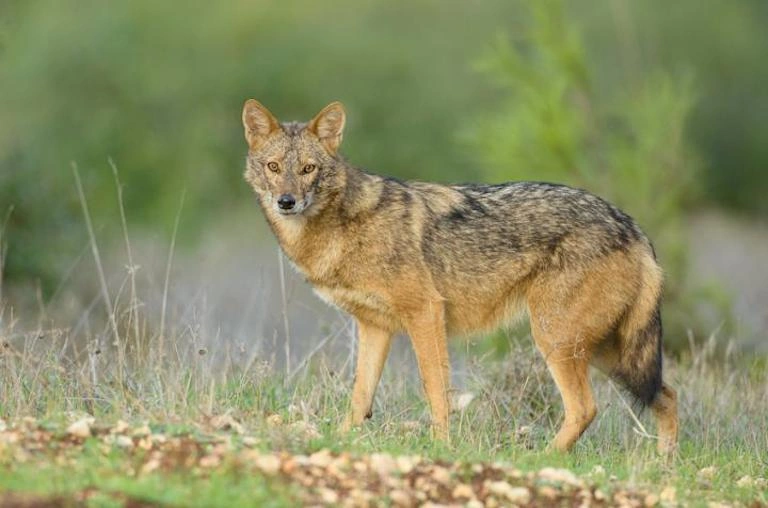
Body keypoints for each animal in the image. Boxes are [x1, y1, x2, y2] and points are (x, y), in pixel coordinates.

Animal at [241, 100, 678, 453]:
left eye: (308, 169)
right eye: (274, 167)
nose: (286, 202)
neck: (341, 228)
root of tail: (633, 227)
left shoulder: (425, 313)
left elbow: (436, 391)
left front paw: (440, 447)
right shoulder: (375, 327)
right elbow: (360, 397)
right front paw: (344, 439)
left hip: (559, 342)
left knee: (586, 408)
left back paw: (541, 458)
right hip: (606, 353)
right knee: (667, 395)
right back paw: (664, 466)